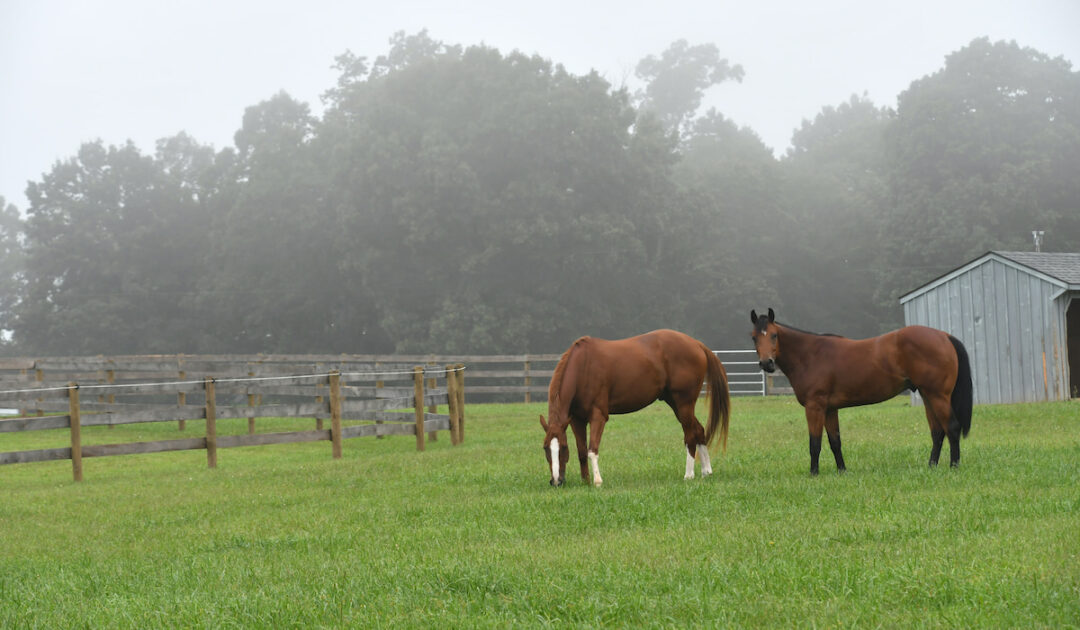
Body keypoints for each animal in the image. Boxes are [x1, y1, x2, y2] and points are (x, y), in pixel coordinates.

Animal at [539, 329, 731, 487]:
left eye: (563, 447)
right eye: (545, 448)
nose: (556, 481)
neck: (583, 367)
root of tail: (697, 344)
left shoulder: (598, 416)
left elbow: (592, 449)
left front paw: (597, 481)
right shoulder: (576, 420)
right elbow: (581, 452)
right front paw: (585, 481)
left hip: (684, 403)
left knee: (690, 435)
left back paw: (689, 475)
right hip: (676, 403)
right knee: (699, 430)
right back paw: (706, 471)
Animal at [749, 308, 972, 474]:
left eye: (774, 335)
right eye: (753, 338)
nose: (767, 363)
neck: (811, 355)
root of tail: (943, 336)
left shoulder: (815, 407)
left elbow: (815, 443)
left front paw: (814, 473)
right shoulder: (830, 409)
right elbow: (835, 441)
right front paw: (842, 471)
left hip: (938, 396)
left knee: (952, 427)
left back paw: (953, 467)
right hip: (927, 396)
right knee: (937, 431)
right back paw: (931, 466)